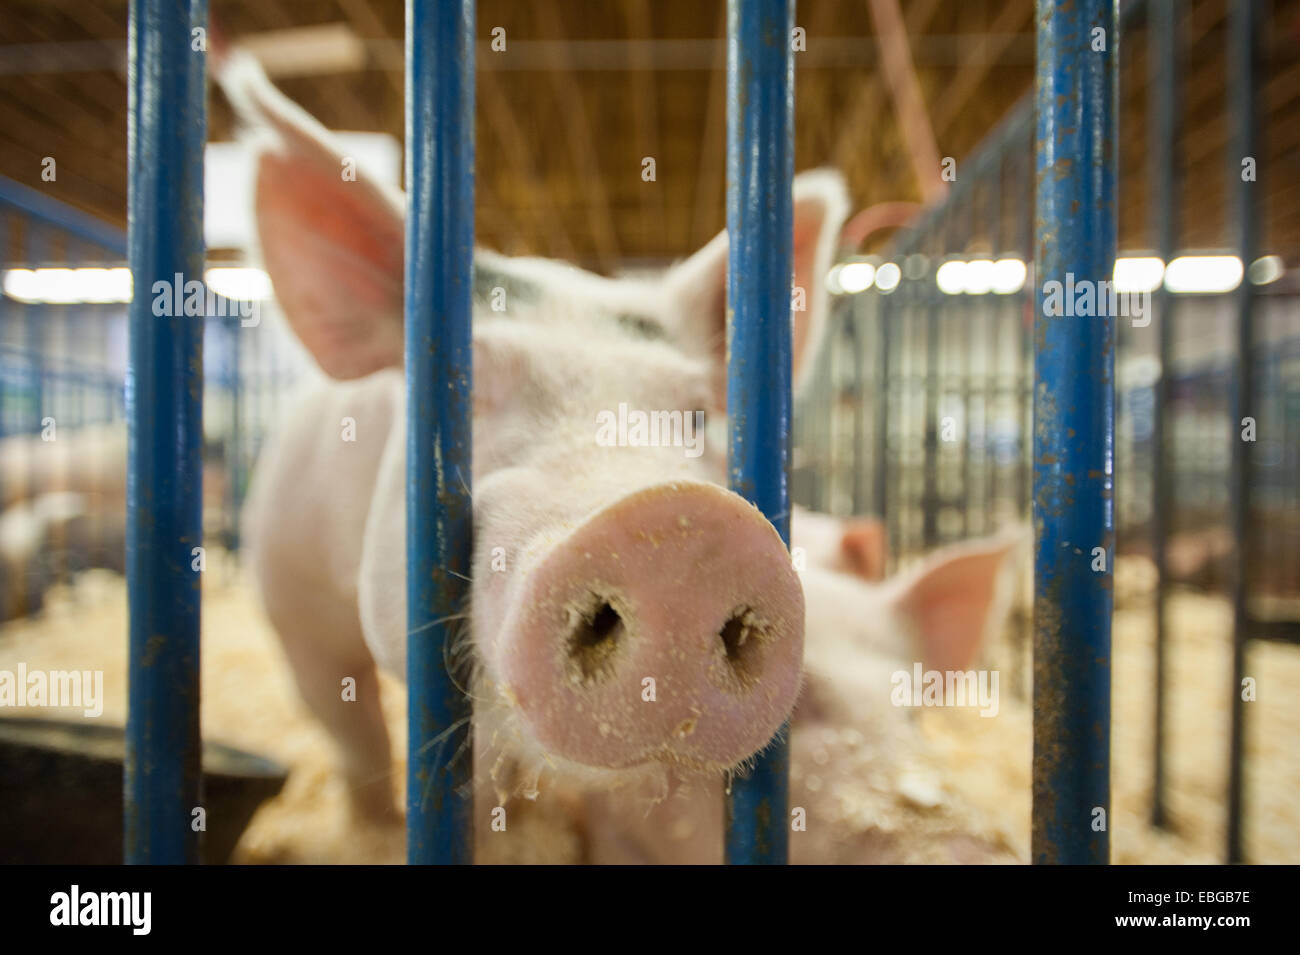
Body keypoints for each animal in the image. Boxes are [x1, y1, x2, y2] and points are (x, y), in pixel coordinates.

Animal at [215, 48, 1024, 862]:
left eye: (697, 415)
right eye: (464, 394)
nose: (678, 528)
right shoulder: (291, 596)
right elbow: (350, 729)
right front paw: (376, 830)